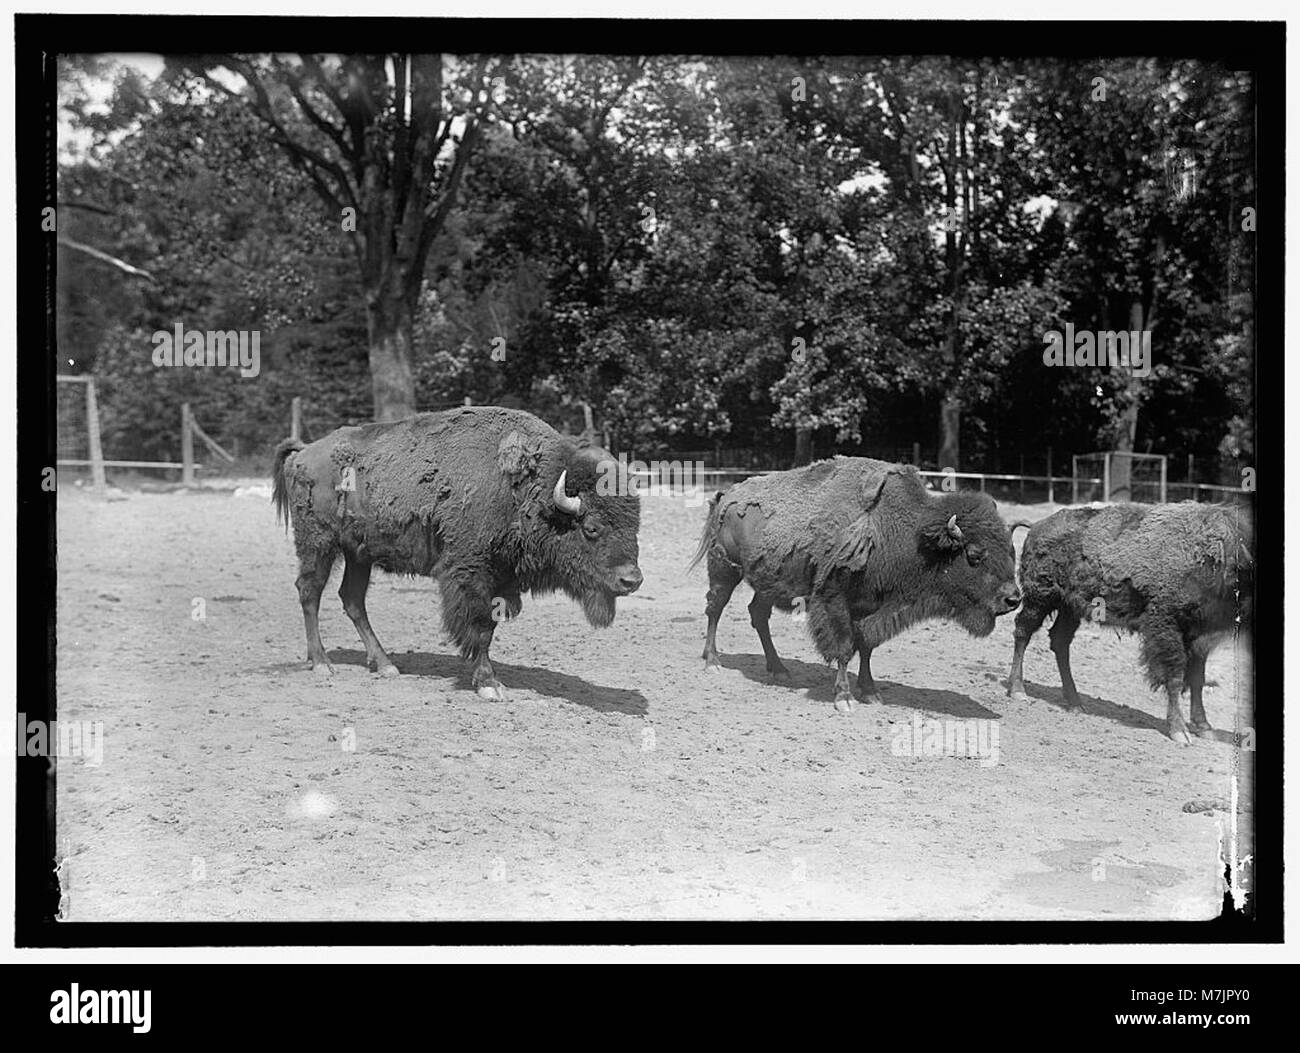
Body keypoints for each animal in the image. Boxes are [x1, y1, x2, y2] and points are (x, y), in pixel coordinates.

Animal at [271, 406, 642, 700]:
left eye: (635, 524)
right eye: (591, 527)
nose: (632, 580)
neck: (528, 491)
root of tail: (302, 454)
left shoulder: (500, 580)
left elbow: (489, 628)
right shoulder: (470, 574)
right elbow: (480, 627)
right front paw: (489, 684)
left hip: (358, 553)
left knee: (352, 599)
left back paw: (386, 665)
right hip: (318, 544)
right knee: (309, 592)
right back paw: (322, 664)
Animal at [690, 457, 1021, 712]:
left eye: (1011, 551)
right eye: (974, 555)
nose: (1013, 599)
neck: (906, 536)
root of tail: (726, 495)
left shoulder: (872, 607)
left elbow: (866, 645)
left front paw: (870, 692)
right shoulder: (835, 601)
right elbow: (845, 647)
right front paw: (844, 698)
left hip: (767, 582)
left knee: (758, 615)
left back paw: (779, 669)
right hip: (724, 570)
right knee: (715, 608)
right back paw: (712, 662)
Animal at [1006, 502, 1253, 745]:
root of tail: (1036, 526)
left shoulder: (1199, 637)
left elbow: (1197, 679)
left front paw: (1204, 728)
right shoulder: (1168, 626)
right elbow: (1174, 677)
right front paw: (1180, 732)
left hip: (1070, 608)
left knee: (1059, 642)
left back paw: (1076, 704)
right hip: (1040, 598)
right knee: (1023, 631)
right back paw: (1018, 691)